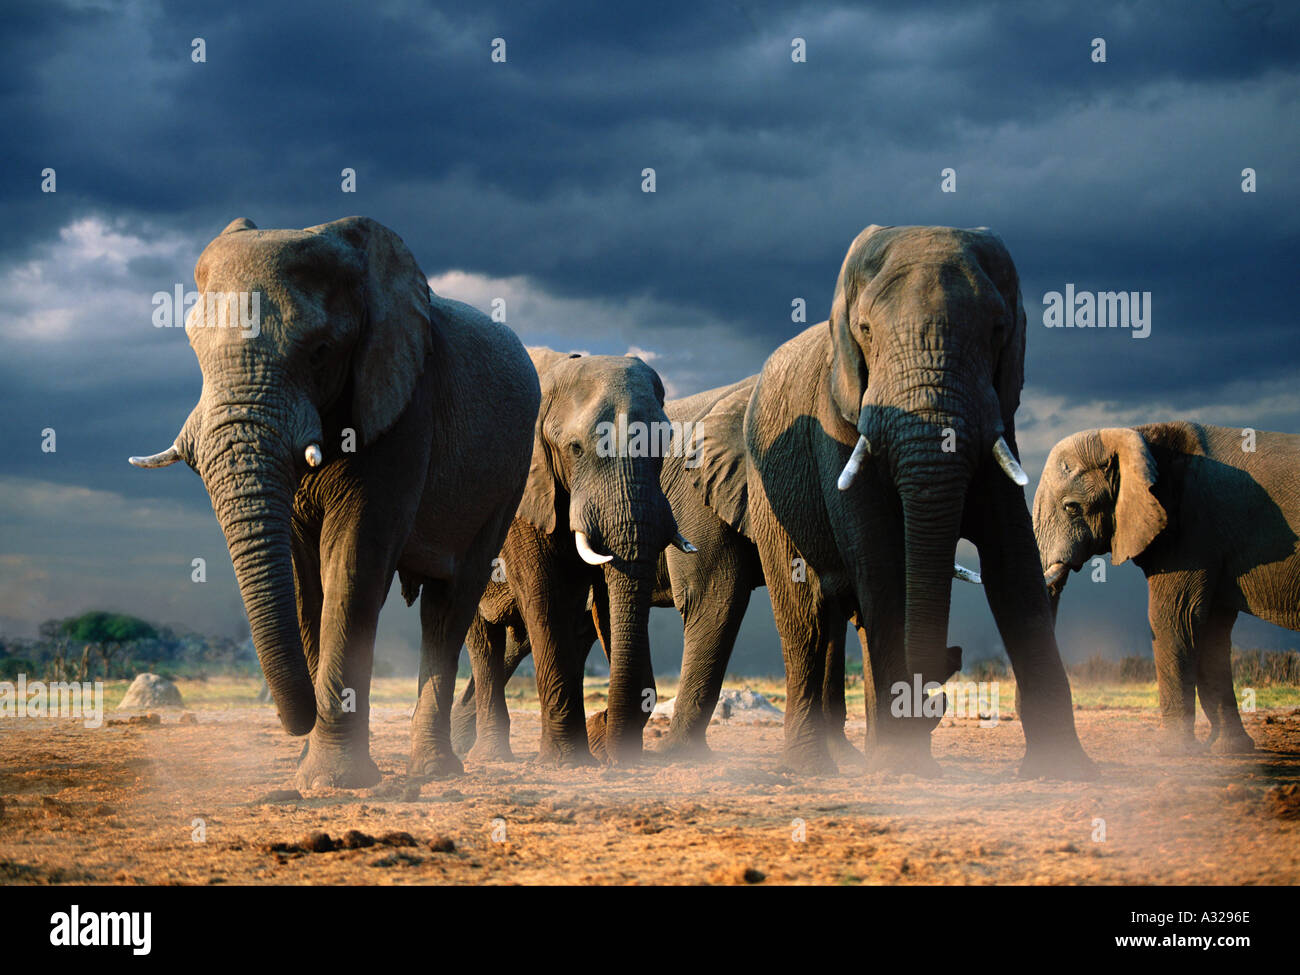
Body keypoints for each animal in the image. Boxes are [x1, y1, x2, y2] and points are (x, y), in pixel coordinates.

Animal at [129, 216, 539, 787]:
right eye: (194, 348)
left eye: (320, 350)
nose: (298, 723)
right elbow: (306, 578)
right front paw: (308, 770)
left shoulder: (403, 409)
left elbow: (353, 562)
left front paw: (332, 781)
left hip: (507, 480)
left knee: (451, 603)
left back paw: (436, 772)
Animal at [459, 349, 693, 766]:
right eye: (575, 449)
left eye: (663, 447)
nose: (618, 759)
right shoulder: (525, 497)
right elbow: (546, 596)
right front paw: (568, 761)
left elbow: (605, 601)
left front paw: (600, 743)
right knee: (484, 642)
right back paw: (492, 757)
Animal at [744, 224, 1094, 777]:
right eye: (865, 330)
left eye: (998, 329)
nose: (948, 665)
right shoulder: (836, 426)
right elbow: (880, 556)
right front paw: (901, 766)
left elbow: (1013, 560)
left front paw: (1063, 772)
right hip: (767, 490)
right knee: (807, 617)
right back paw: (814, 769)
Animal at [1034, 422, 1300, 754]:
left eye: (1071, 507)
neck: (1136, 437)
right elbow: (1211, 632)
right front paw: (1228, 751)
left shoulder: (1192, 529)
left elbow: (1174, 618)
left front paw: (1172, 751)